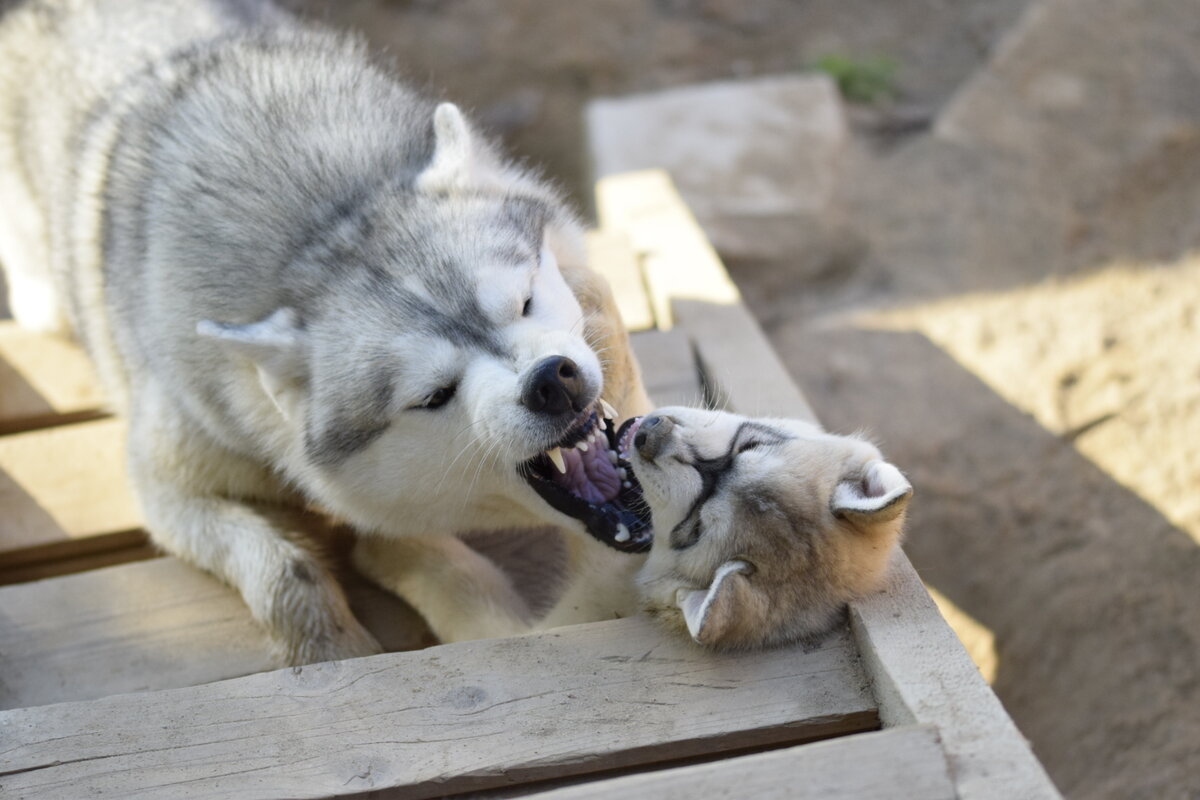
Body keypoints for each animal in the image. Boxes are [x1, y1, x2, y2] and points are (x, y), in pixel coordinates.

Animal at [2, 0, 657, 662]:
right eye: (435, 396)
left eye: (523, 302)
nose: (551, 381)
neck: (319, 223)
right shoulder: (166, 486)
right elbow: (282, 569)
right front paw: (330, 651)